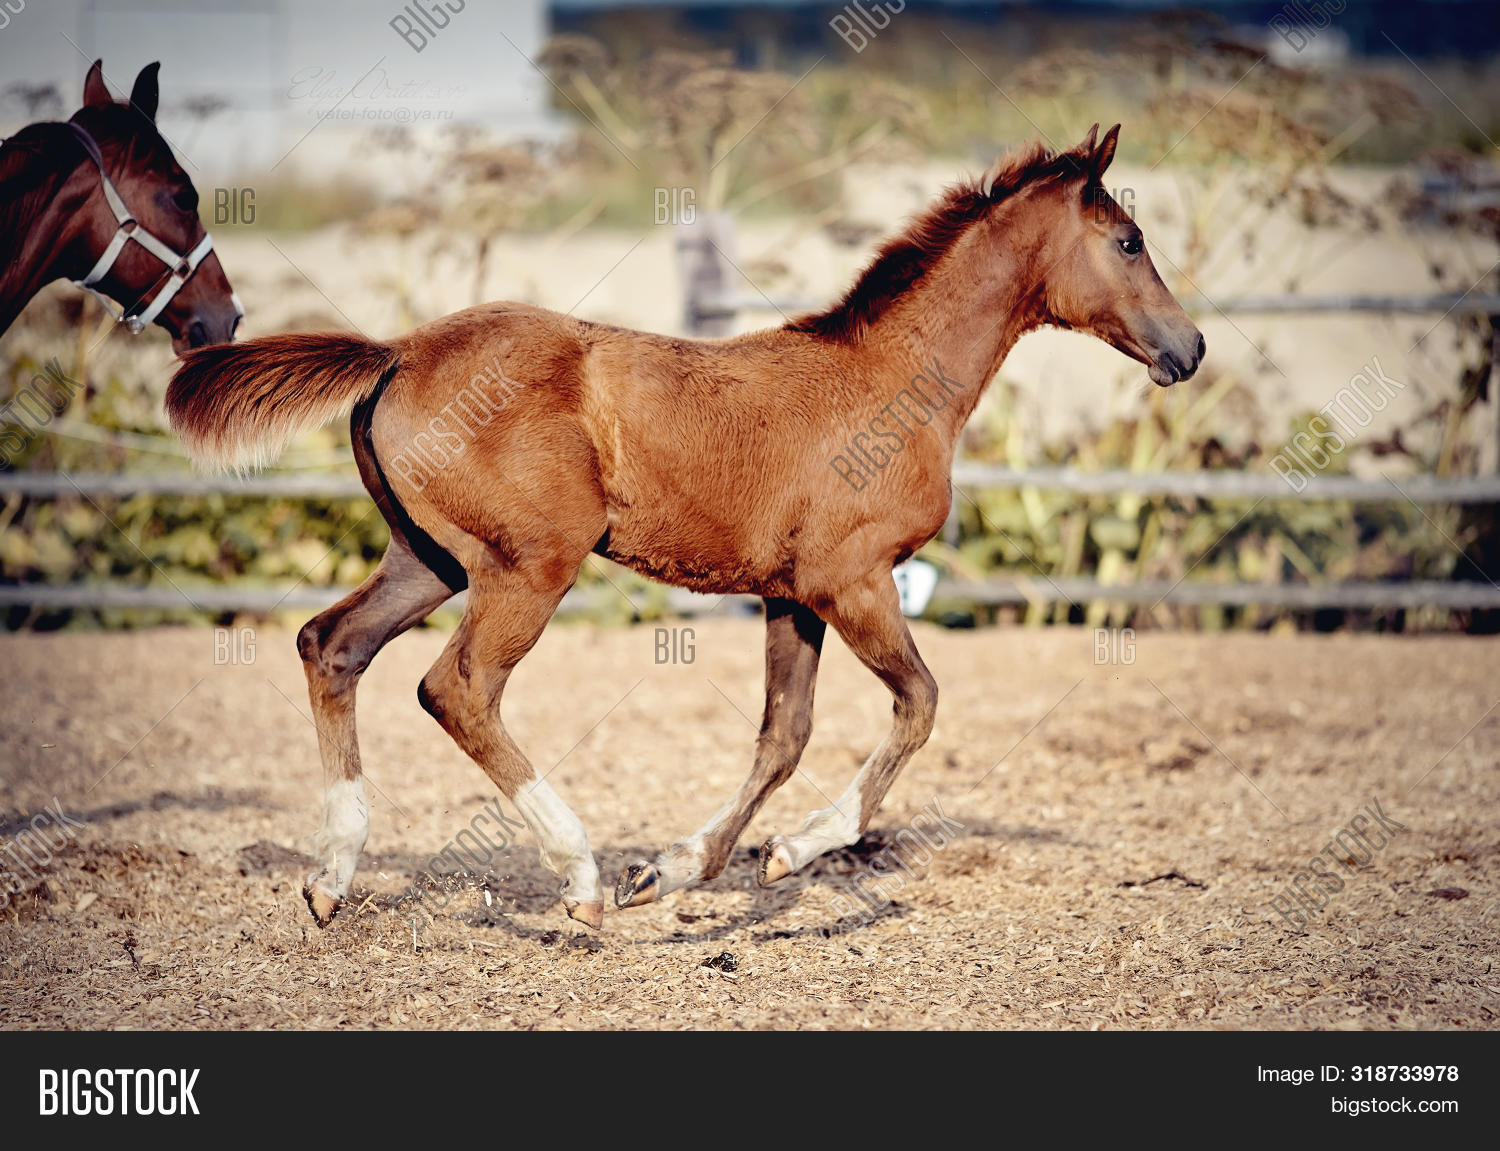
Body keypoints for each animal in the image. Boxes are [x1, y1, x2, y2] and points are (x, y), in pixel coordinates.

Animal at [166, 123, 1204, 931]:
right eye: (1128, 239)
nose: (1189, 348)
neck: (889, 380)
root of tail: (399, 351)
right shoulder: (855, 580)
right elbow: (919, 703)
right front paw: (794, 850)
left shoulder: (794, 597)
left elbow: (784, 735)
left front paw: (674, 871)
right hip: (528, 566)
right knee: (454, 686)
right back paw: (578, 876)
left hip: (429, 560)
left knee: (331, 644)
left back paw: (331, 880)